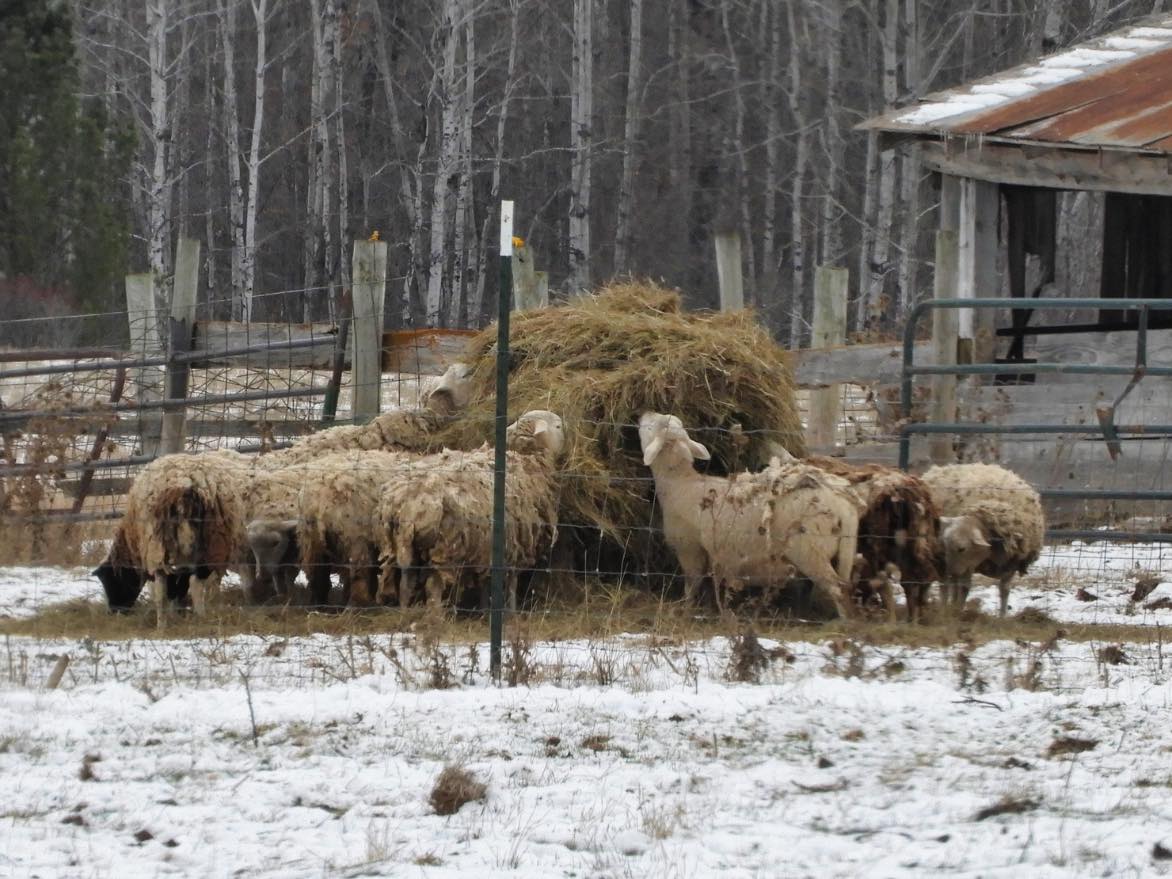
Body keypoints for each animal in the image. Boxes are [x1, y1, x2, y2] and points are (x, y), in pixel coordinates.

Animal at [375, 410, 564, 612]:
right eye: (558, 426)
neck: (527, 456)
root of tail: (409, 505)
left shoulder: (489, 547)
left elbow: (486, 581)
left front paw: (484, 609)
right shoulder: (518, 545)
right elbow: (511, 584)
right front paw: (511, 612)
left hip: (406, 547)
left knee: (406, 582)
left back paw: (404, 612)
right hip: (446, 546)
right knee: (433, 586)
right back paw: (435, 615)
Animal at [638, 412, 859, 618]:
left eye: (650, 426)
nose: (645, 413)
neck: (679, 482)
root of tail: (842, 505)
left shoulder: (690, 548)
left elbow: (692, 584)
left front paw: (685, 609)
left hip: (810, 550)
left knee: (837, 588)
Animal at [921, 463, 1045, 617]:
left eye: (962, 548)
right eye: (945, 545)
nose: (948, 569)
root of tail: (937, 469)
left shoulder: (1011, 564)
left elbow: (1004, 590)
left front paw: (1002, 616)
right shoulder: (968, 564)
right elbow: (964, 587)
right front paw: (958, 611)